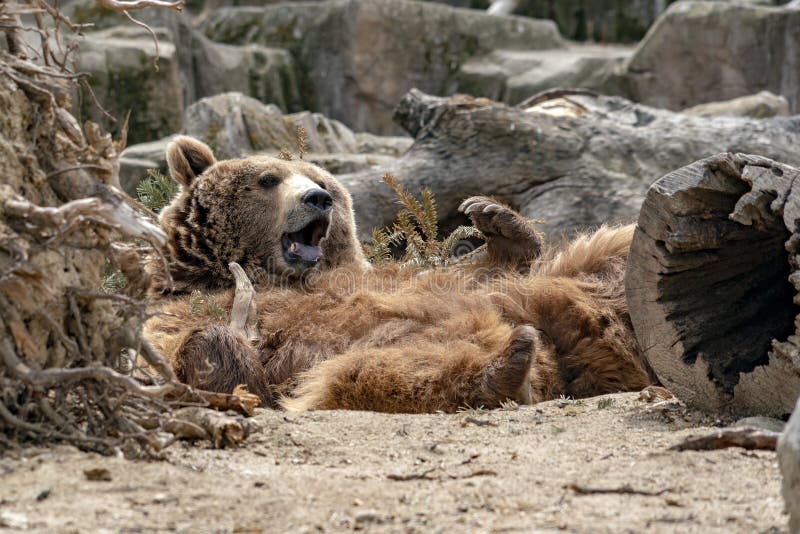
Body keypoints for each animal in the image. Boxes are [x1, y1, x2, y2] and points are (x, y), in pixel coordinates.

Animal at [143, 136, 654, 412]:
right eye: (267, 179)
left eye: (323, 182)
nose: (317, 199)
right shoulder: (176, 307)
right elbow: (188, 357)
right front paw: (221, 344)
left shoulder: (378, 276)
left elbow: (441, 275)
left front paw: (494, 219)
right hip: (379, 356)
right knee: (377, 375)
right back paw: (508, 367)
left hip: (557, 288)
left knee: (604, 254)